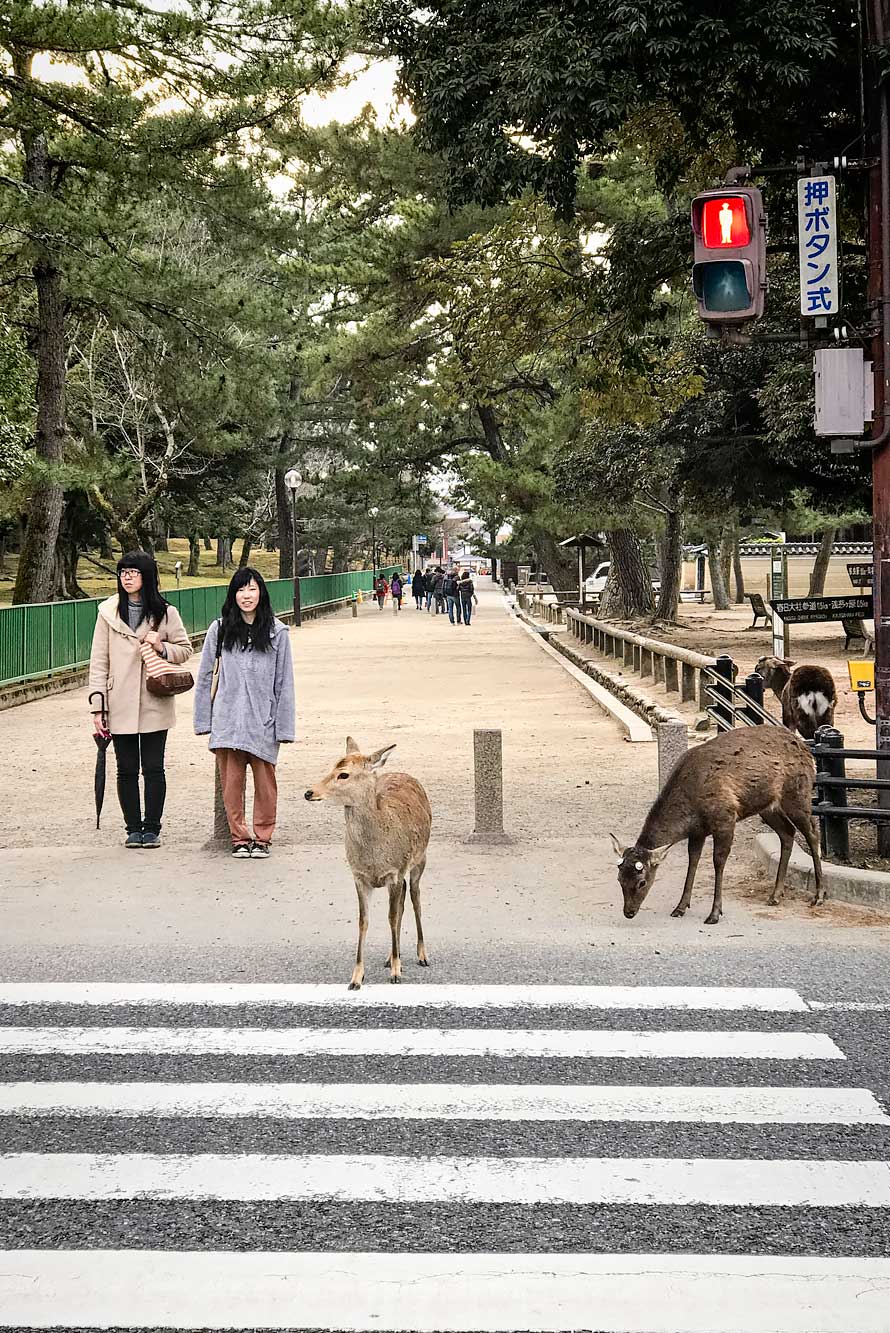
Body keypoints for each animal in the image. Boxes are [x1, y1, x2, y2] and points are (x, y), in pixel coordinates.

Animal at [304, 737, 432, 990]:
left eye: (343, 774)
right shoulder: (359, 876)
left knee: (415, 897)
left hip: (420, 859)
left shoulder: (395, 871)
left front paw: (396, 973)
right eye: (331, 766)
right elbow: (363, 921)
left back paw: (421, 955)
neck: (374, 856)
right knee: (404, 899)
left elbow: (392, 916)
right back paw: (391, 956)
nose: (309, 792)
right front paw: (356, 978)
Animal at [610, 725, 823, 925]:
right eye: (619, 879)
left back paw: (819, 895)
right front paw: (680, 907)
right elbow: (693, 861)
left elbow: (718, 862)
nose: (629, 912)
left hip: (797, 794)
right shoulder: (697, 831)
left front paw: (714, 913)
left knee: (812, 832)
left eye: (642, 882)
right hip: (767, 807)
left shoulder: (725, 818)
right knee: (788, 832)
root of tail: (806, 749)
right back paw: (776, 895)